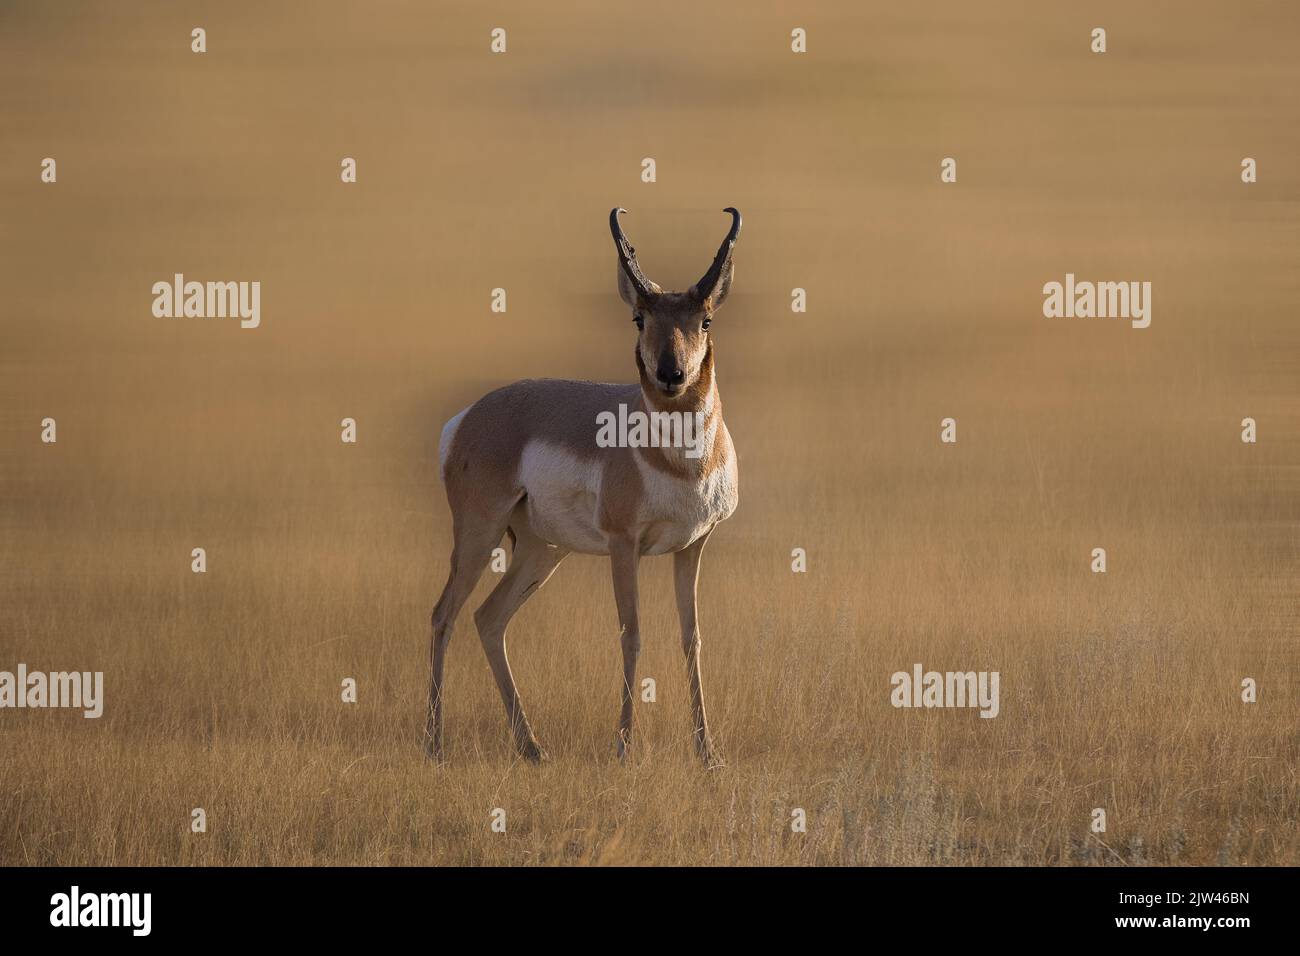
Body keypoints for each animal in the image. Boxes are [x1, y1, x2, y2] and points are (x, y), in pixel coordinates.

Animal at [424, 207, 742, 768]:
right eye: (640, 318)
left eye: (704, 319)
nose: (671, 374)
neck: (679, 460)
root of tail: (468, 417)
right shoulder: (623, 545)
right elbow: (631, 635)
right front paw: (623, 749)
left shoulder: (693, 547)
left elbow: (692, 640)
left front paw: (709, 755)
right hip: (480, 535)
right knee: (445, 615)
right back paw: (436, 746)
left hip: (541, 550)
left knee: (488, 618)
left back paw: (532, 747)